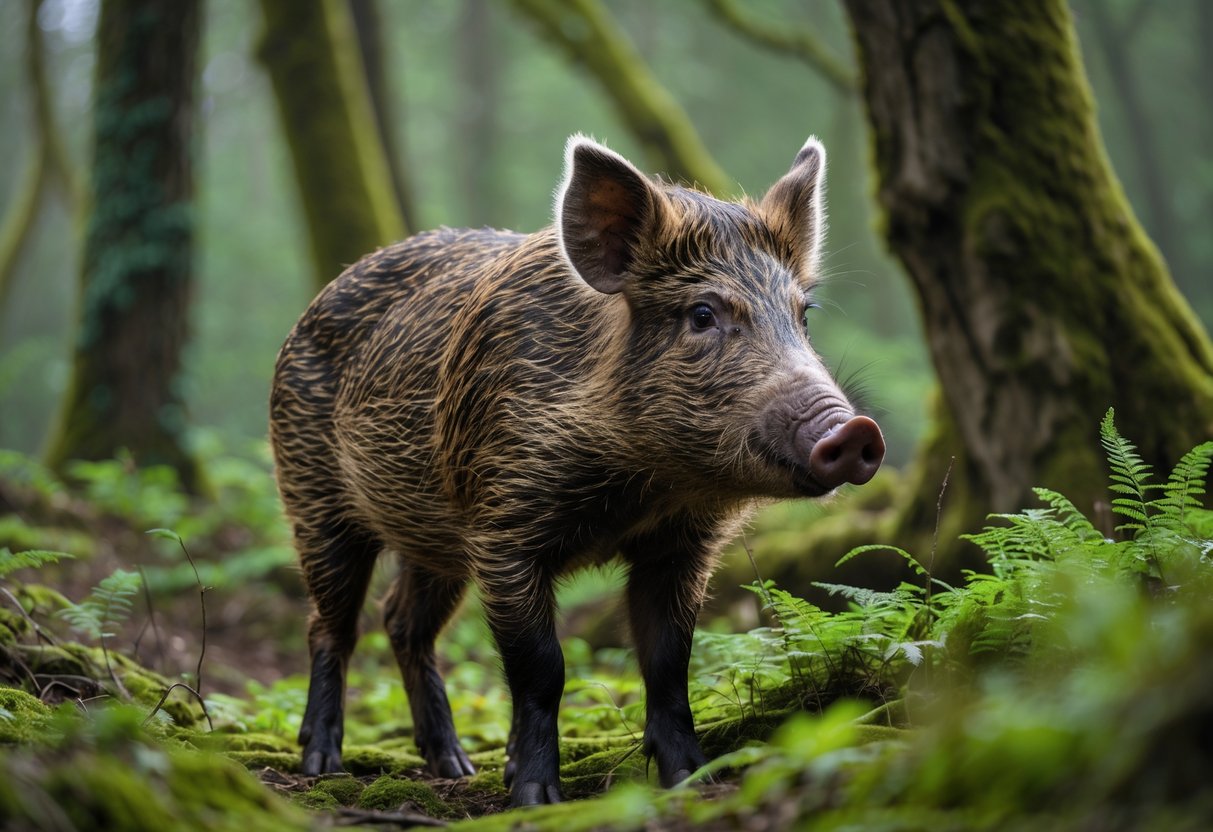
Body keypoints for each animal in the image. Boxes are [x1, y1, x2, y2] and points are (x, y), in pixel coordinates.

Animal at [269, 135, 884, 806]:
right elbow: (542, 667)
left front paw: (690, 782)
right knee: (332, 625)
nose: (855, 429)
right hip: (312, 500)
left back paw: (456, 767)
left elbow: (669, 662)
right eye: (702, 314)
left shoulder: (680, 545)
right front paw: (535, 797)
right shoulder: (503, 530)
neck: (643, 486)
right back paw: (322, 763)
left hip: (433, 540)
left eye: (804, 315)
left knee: (403, 623)